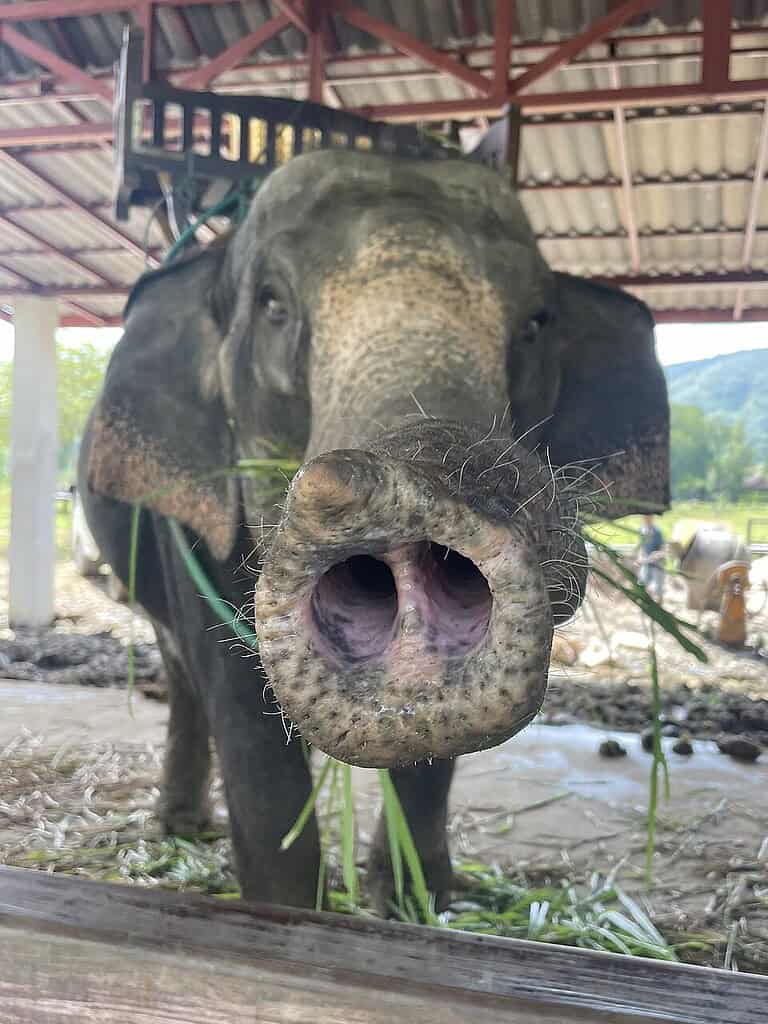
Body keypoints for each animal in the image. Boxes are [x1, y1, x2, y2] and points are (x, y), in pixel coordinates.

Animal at [80, 149, 669, 909]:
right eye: (272, 303)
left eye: (538, 322)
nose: (397, 496)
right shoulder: (190, 520)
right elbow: (243, 710)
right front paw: (286, 910)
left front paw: (417, 901)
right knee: (181, 668)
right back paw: (180, 829)